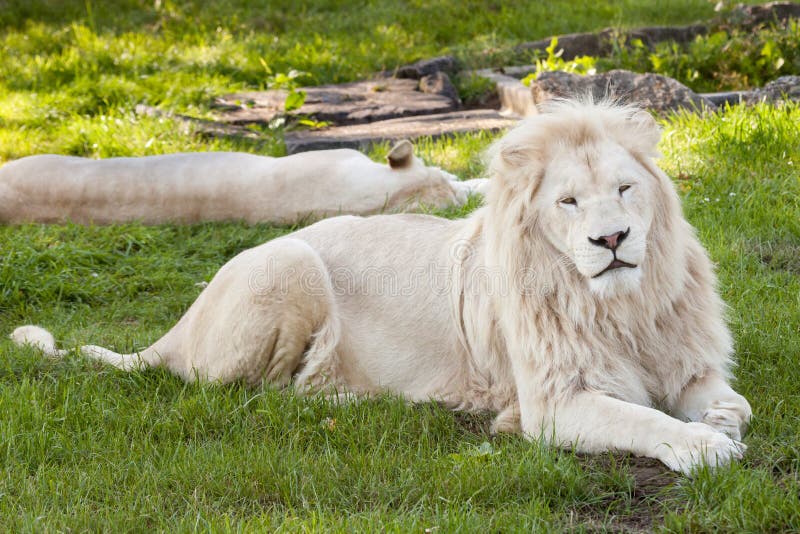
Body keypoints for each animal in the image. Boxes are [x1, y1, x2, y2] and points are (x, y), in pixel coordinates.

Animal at [12, 100, 751, 475]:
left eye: (624, 189)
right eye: (568, 202)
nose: (613, 240)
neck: (618, 306)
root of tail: (181, 322)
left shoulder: (684, 363)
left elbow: (731, 401)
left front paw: (717, 420)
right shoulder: (550, 407)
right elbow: (640, 418)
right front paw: (701, 446)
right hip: (290, 263)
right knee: (248, 392)